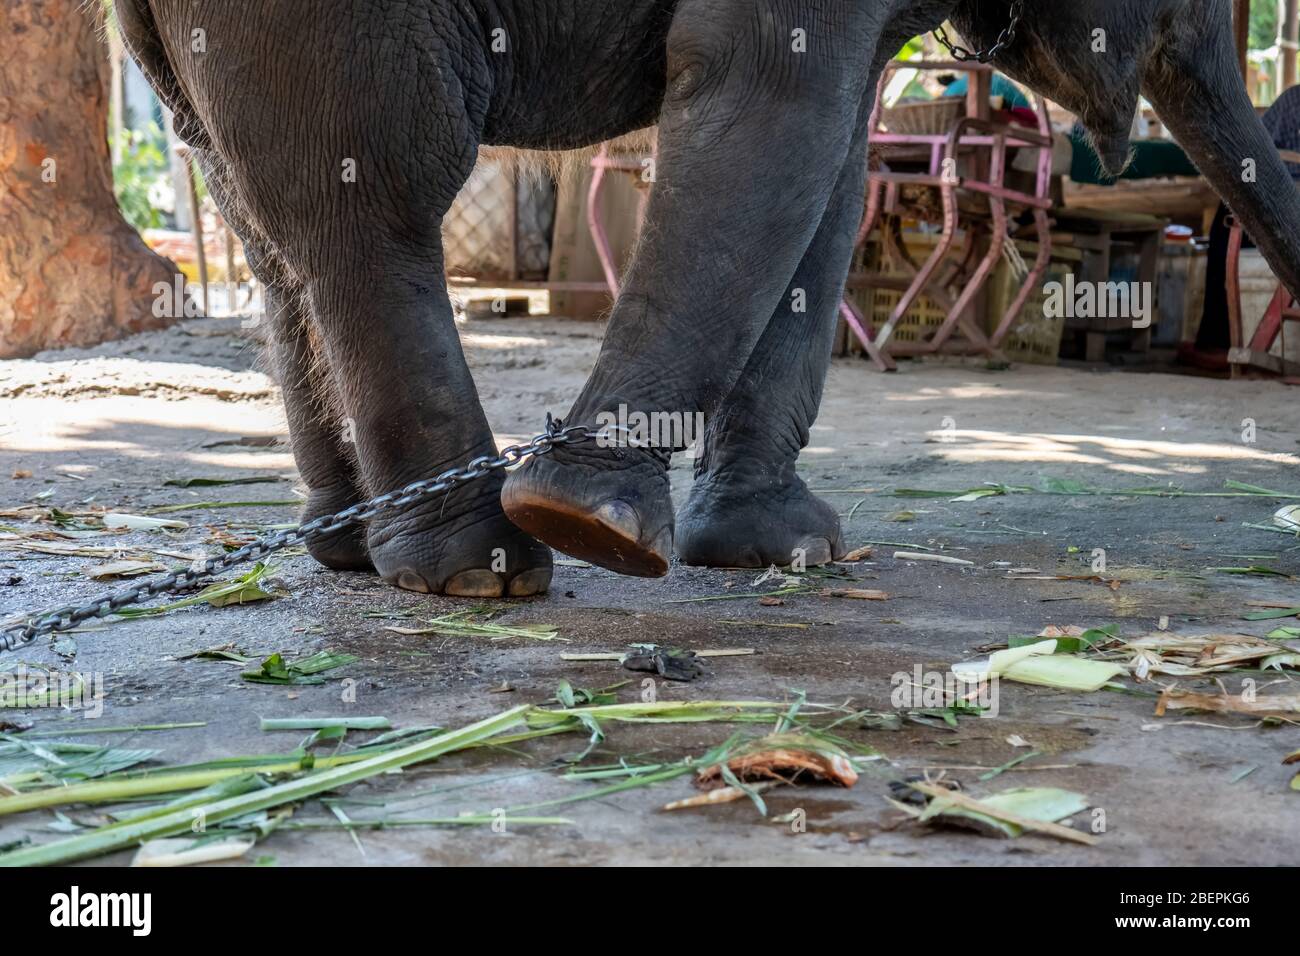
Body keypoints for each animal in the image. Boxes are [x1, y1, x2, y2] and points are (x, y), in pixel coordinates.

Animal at [114, 0, 1300, 597]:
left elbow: (835, 167)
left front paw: (783, 550)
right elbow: (769, 92)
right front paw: (592, 519)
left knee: (266, 226)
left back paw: (350, 548)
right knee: (380, 196)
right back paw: (485, 569)